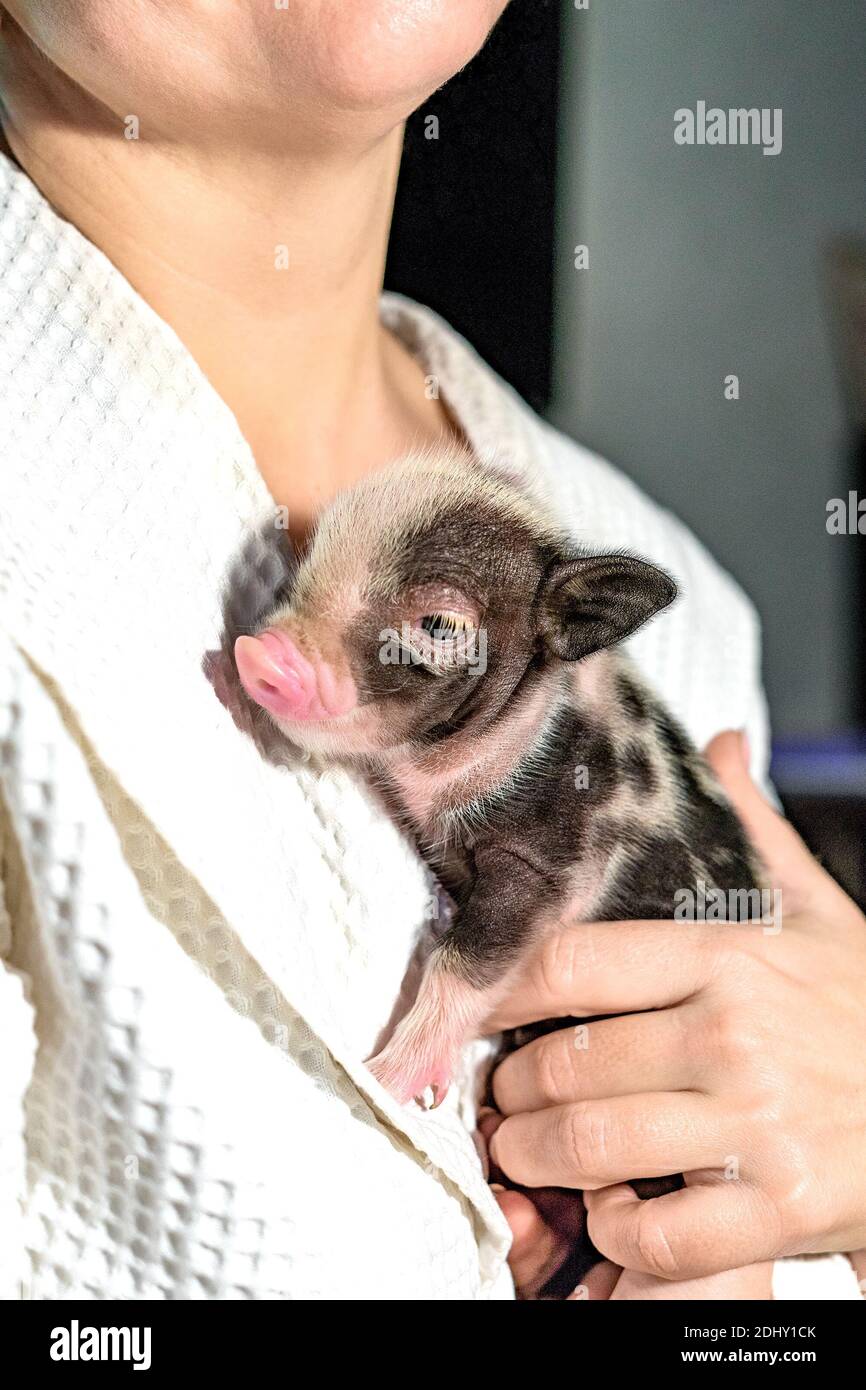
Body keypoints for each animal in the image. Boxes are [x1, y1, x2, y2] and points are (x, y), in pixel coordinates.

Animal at [229, 444, 762, 1116]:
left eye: (437, 624)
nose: (256, 654)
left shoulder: (549, 861)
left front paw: (388, 1083)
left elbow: (463, 962)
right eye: (308, 561)